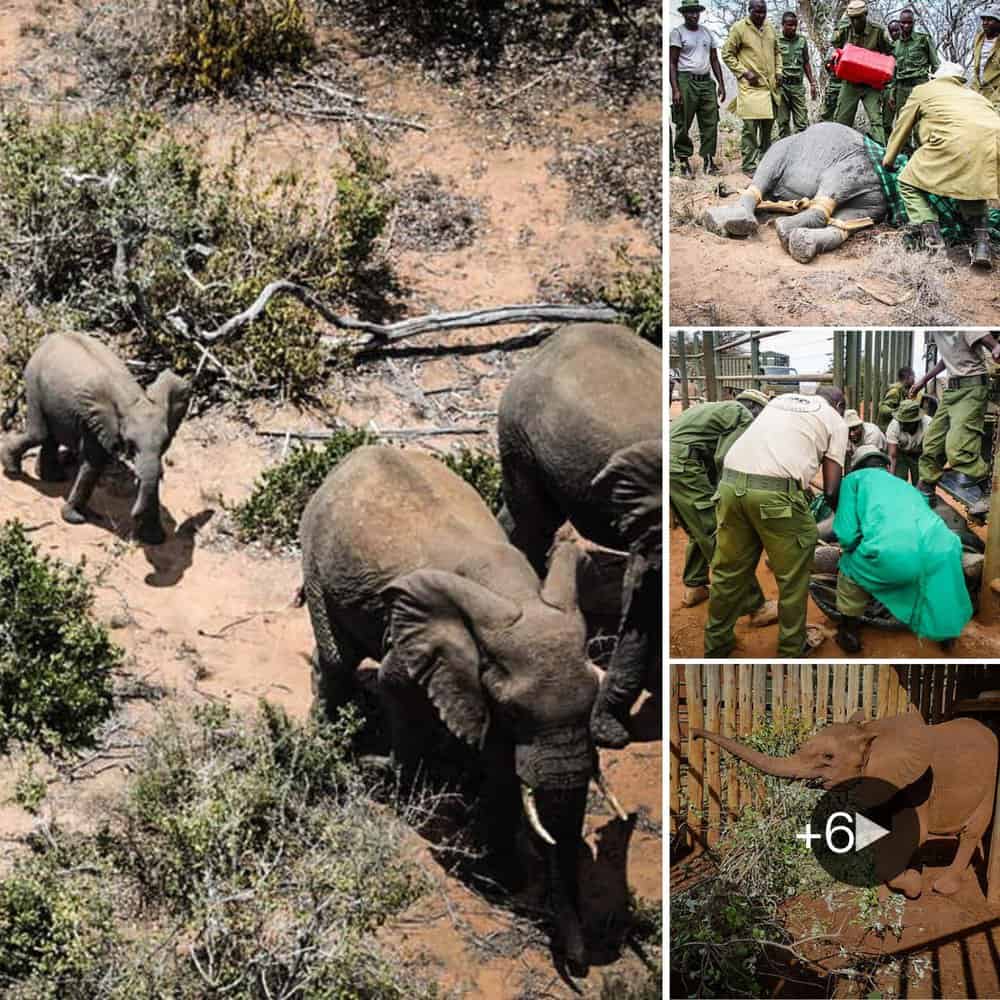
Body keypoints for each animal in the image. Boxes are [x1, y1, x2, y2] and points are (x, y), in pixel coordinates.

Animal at [0, 332, 190, 545]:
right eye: (131, 445)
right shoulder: (94, 422)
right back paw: (13, 470)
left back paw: (52, 477)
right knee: (39, 433)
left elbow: (152, 474)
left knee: (50, 436)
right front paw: (74, 518)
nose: (133, 516)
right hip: (33, 380)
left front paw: (155, 539)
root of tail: (51, 337)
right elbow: (94, 465)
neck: (133, 399)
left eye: (165, 444)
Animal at [298, 445, 627, 972]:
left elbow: (500, 762)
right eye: (514, 711)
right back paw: (327, 737)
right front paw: (393, 781)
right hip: (315, 551)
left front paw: (504, 877)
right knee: (336, 658)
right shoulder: (418, 643)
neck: (516, 596)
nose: (580, 962)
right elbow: (396, 687)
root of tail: (355, 453)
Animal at [693, 710, 999, 898]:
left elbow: (913, 834)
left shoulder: (917, 784)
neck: (871, 731)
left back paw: (943, 887)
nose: (694, 734)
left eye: (828, 757)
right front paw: (883, 893)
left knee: (972, 832)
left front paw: (912, 886)